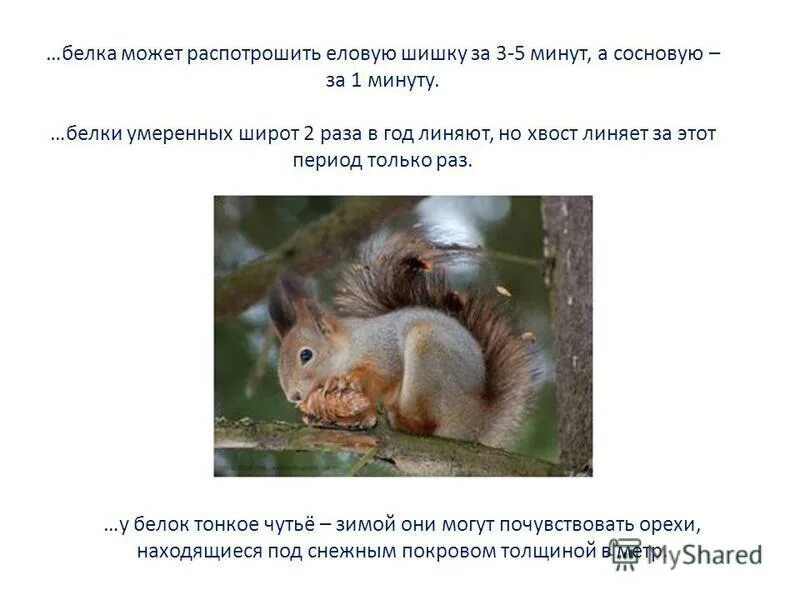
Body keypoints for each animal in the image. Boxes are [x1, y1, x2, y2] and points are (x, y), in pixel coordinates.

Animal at [267, 231, 537, 449]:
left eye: (306, 354)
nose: (294, 397)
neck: (351, 346)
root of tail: (478, 422)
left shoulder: (383, 349)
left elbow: (382, 375)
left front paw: (348, 380)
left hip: (428, 356)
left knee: (426, 424)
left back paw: (403, 420)